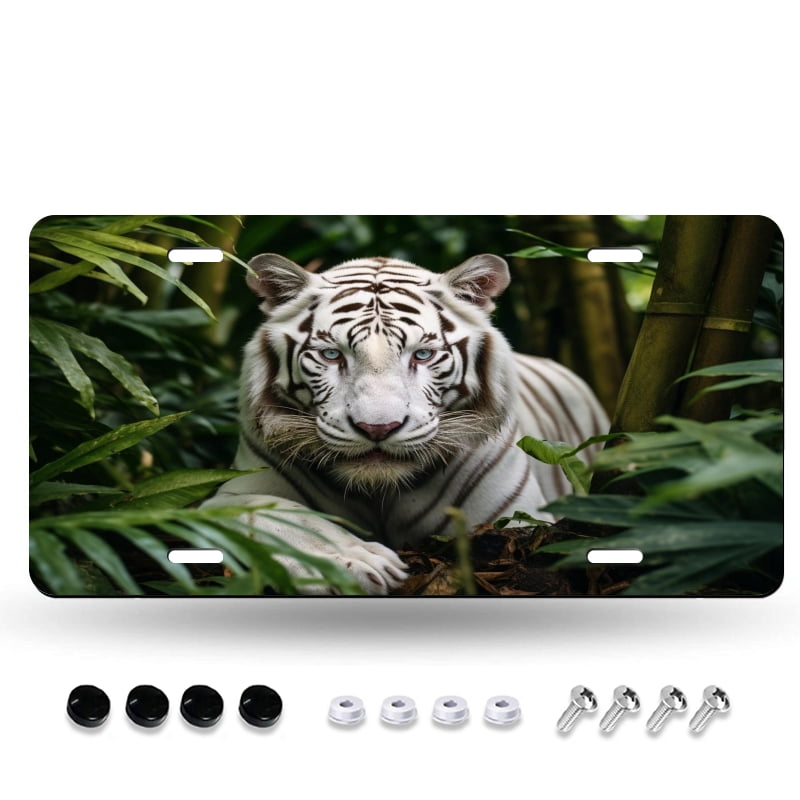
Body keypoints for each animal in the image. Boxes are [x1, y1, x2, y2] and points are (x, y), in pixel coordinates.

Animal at [202, 253, 609, 595]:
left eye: (423, 354)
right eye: (331, 354)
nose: (377, 429)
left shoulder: (513, 517)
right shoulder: (231, 494)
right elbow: (281, 516)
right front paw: (354, 561)